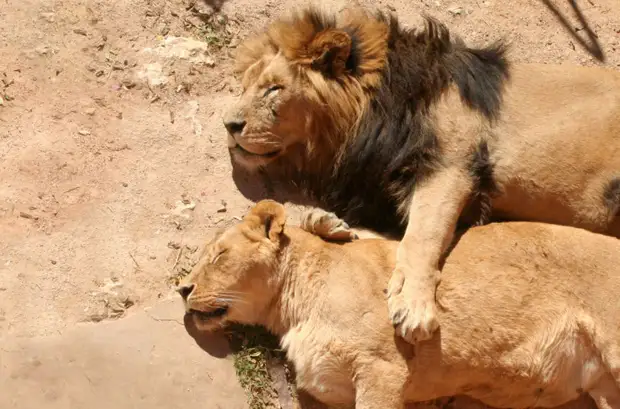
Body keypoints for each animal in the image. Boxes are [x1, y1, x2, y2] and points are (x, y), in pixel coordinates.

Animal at [223, 6, 620, 344]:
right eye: (244, 87)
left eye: (274, 88)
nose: (229, 124)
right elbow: (393, 239)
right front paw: (330, 224)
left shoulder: (451, 166)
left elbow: (420, 237)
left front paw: (413, 305)